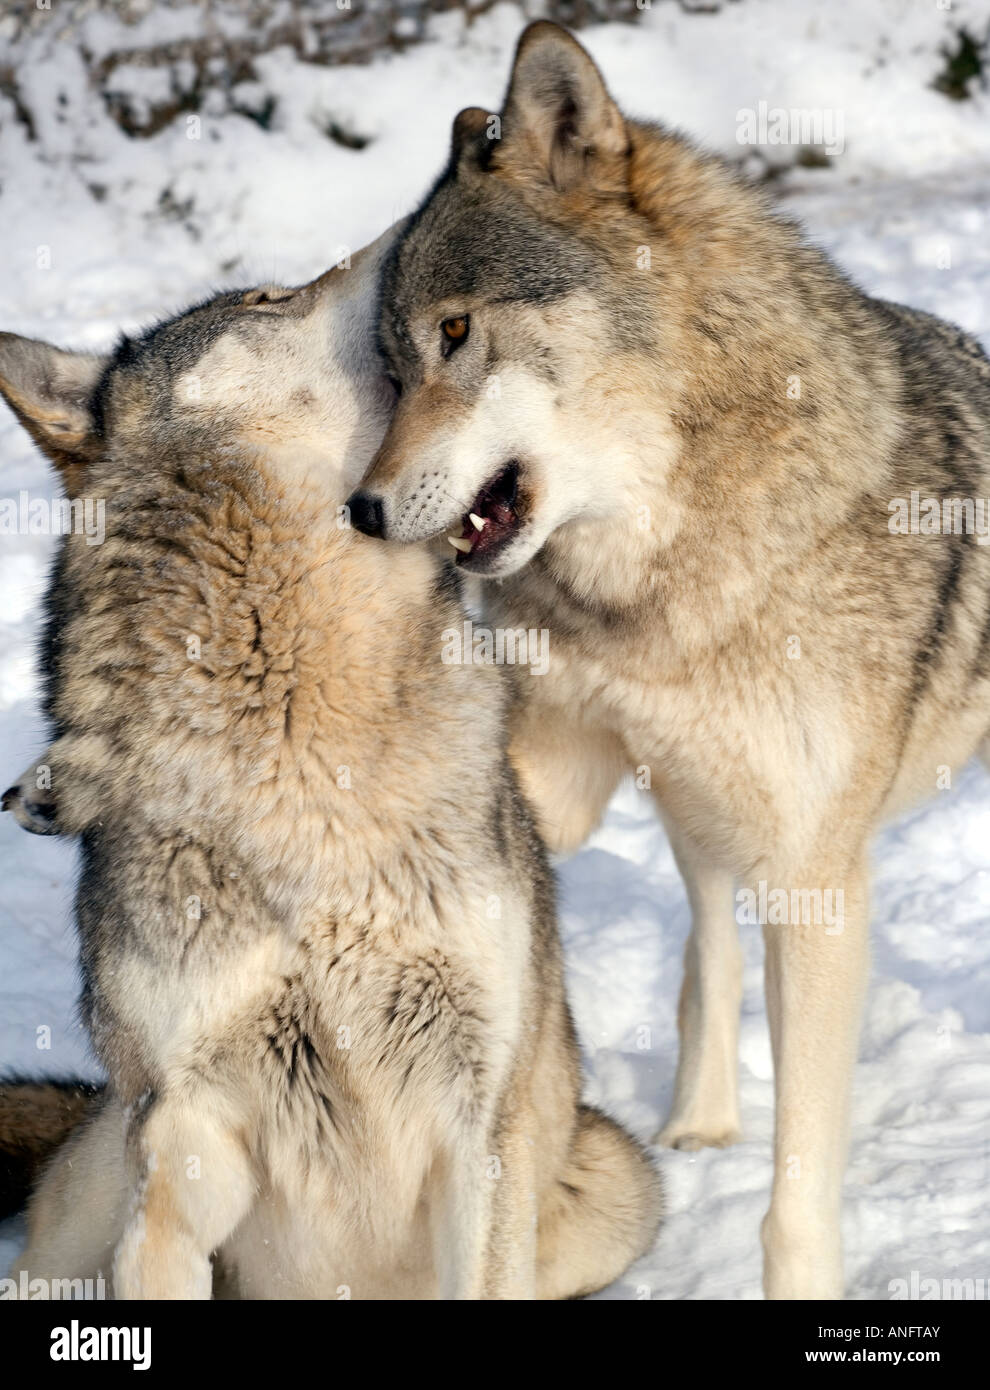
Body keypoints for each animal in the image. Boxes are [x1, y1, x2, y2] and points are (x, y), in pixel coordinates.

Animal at [0, 232, 660, 1299]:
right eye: (267, 299)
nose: (408, 239)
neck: (305, 774)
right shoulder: (183, 1135)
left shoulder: (478, 1118)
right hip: (100, 1186)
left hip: (614, 1189)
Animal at [344, 23, 990, 1298]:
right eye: (390, 365)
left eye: (457, 333)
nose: (364, 510)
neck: (660, 592)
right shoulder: (559, 782)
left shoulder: (819, 878)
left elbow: (799, 1195)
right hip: (696, 803)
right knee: (705, 948)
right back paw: (698, 1121)